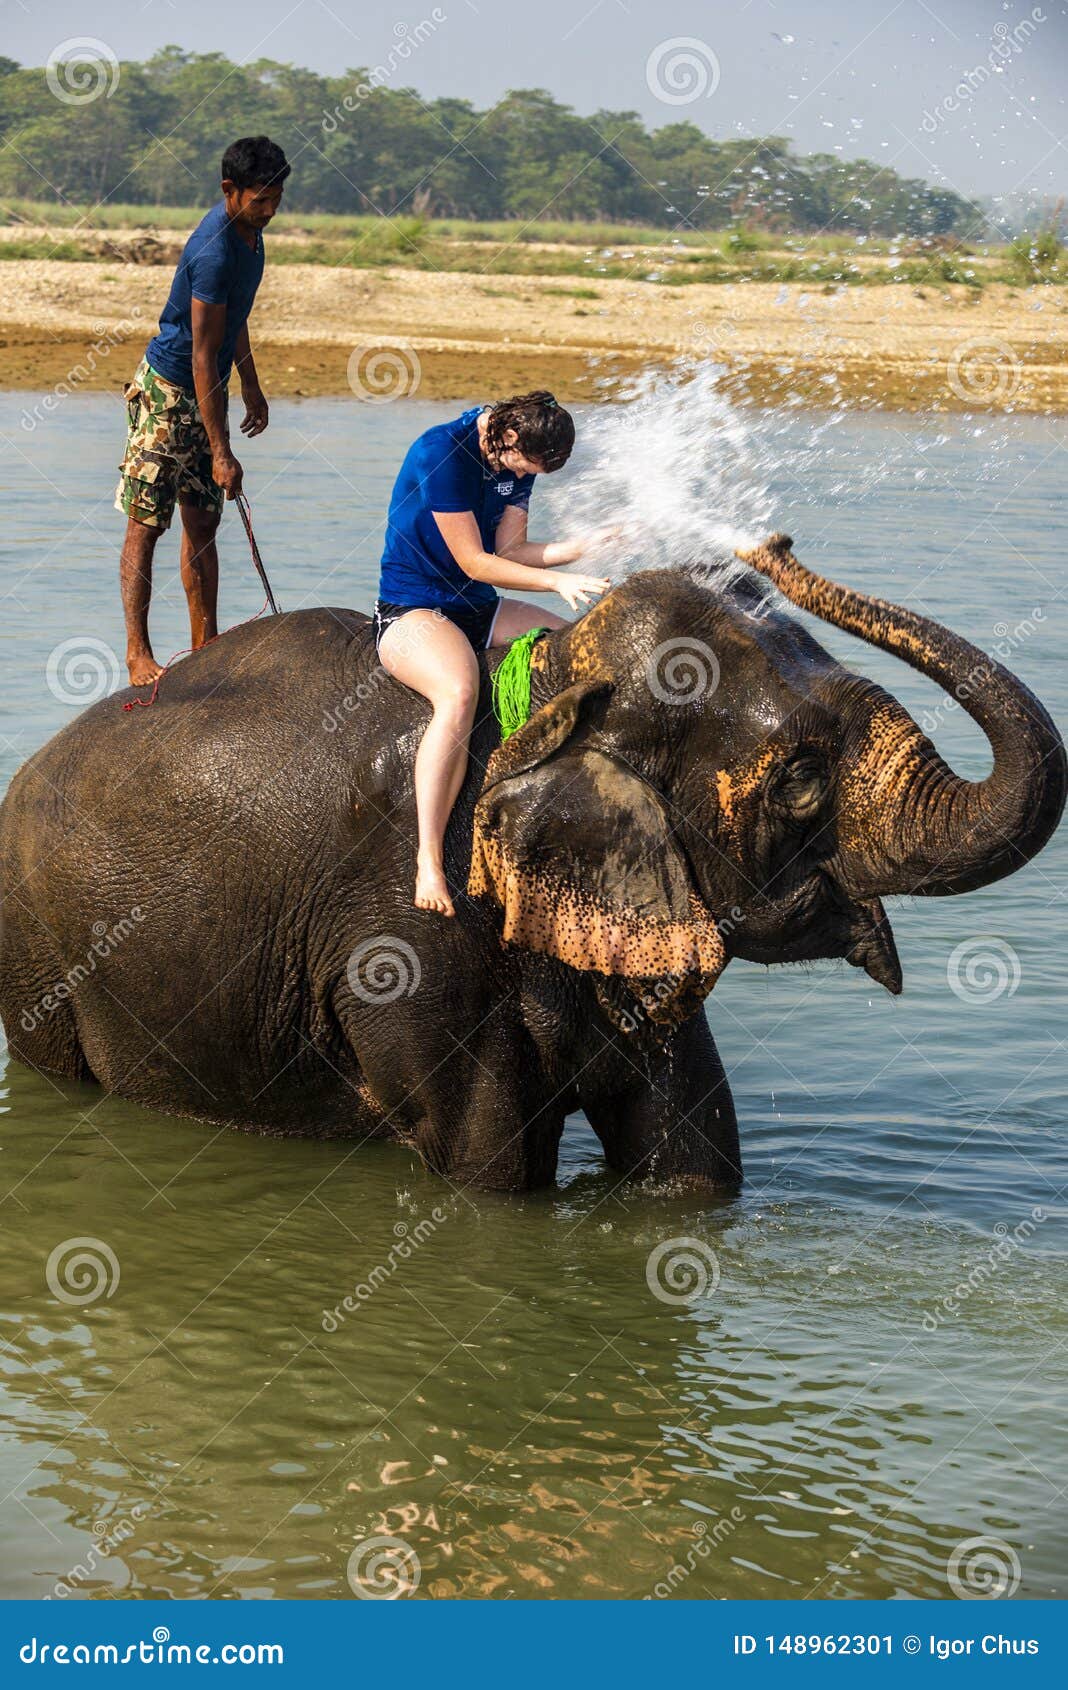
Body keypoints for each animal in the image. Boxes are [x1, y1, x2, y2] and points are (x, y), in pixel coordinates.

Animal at [1, 535, 1063, 1194]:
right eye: (800, 780)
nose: (777, 546)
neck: (552, 685)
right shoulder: (403, 943)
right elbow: (493, 1173)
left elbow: (690, 1163)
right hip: (36, 955)